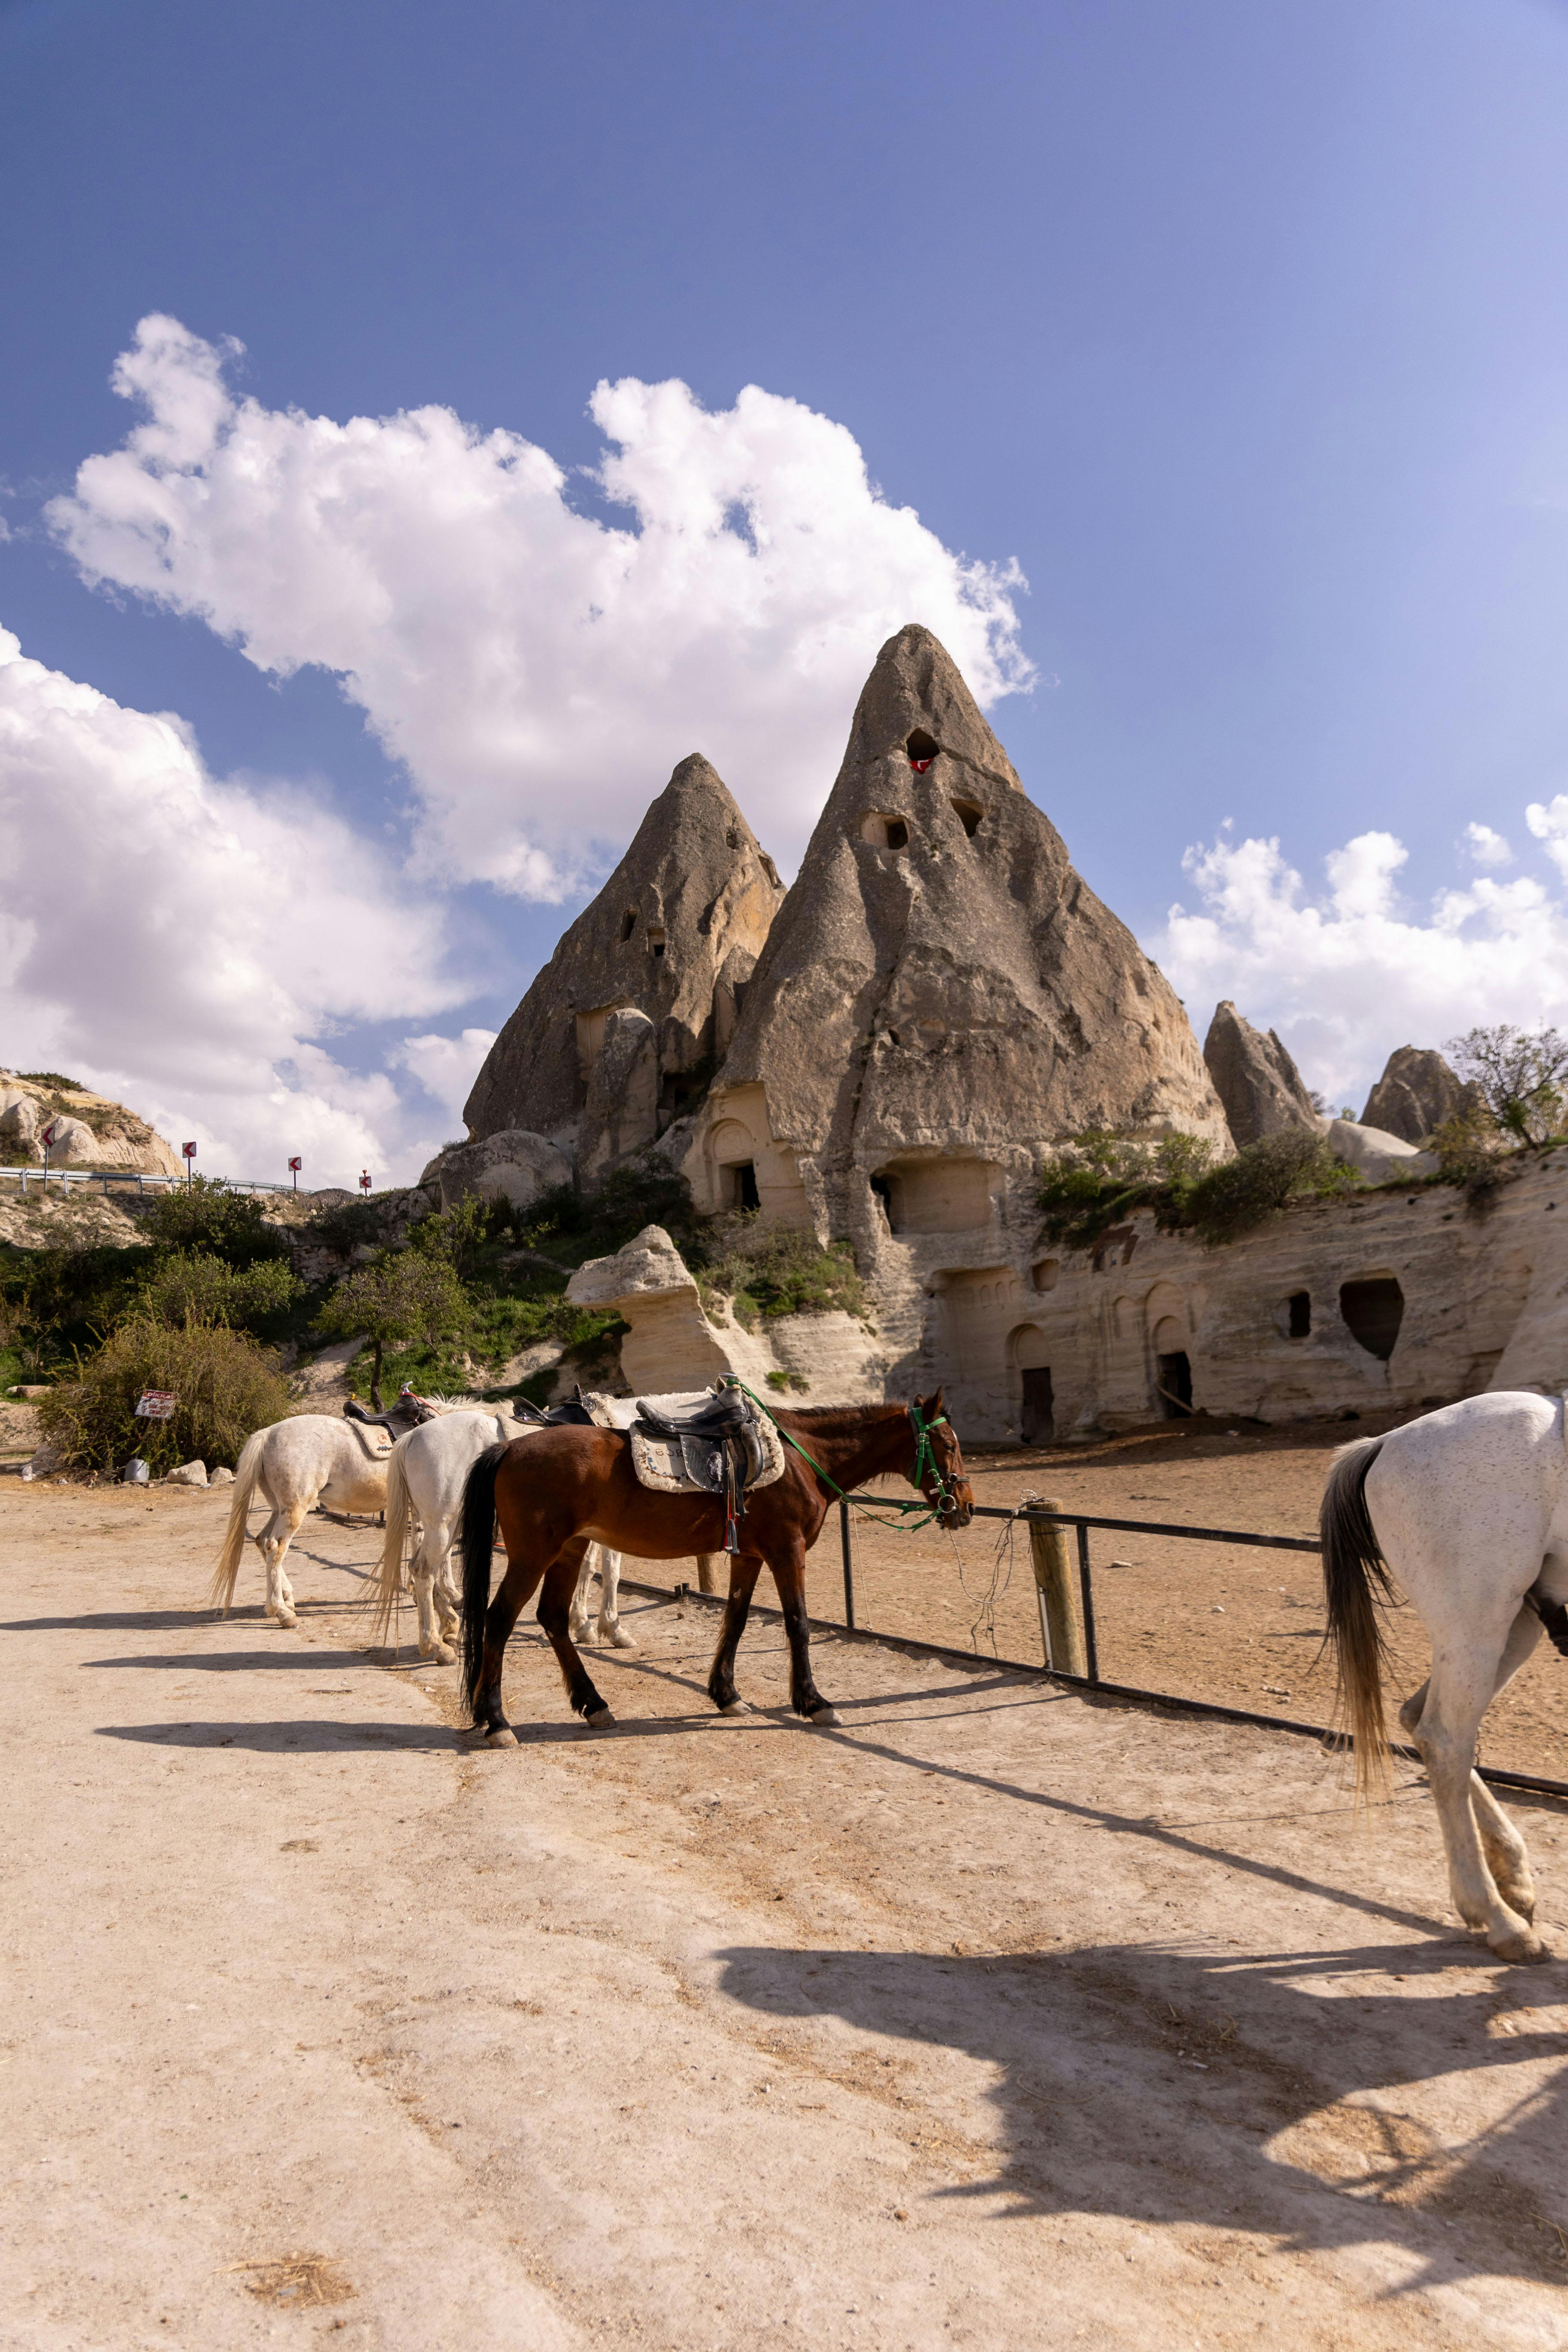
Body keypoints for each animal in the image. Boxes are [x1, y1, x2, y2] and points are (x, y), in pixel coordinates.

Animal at [371, 1408, 630, 1666]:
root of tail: (412, 1436)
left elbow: (599, 1571)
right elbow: (602, 1571)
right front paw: (604, 1627)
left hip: (444, 1526)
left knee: (421, 1567)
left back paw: (450, 1626)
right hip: (443, 1528)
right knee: (424, 1572)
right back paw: (436, 1646)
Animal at [458, 1392, 970, 1746]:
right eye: (948, 1443)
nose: (964, 1506)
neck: (801, 1458)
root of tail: (510, 1450)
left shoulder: (749, 1555)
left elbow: (736, 1620)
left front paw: (727, 1695)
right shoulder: (788, 1551)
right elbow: (798, 1624)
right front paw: (814, 1702)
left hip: (569, 1550)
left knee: (552, 1619)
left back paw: (593, 1705)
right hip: (533, 1555)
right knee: (499, 1619)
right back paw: (497, 1721)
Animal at [1321, 1388, 1568, 1964]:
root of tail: (1384, 1442)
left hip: (1513, 1626)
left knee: (1420, 1720)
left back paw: (1513, 1878)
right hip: (1480, 1623)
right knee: (1446, 1740)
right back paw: (1498, 1917)